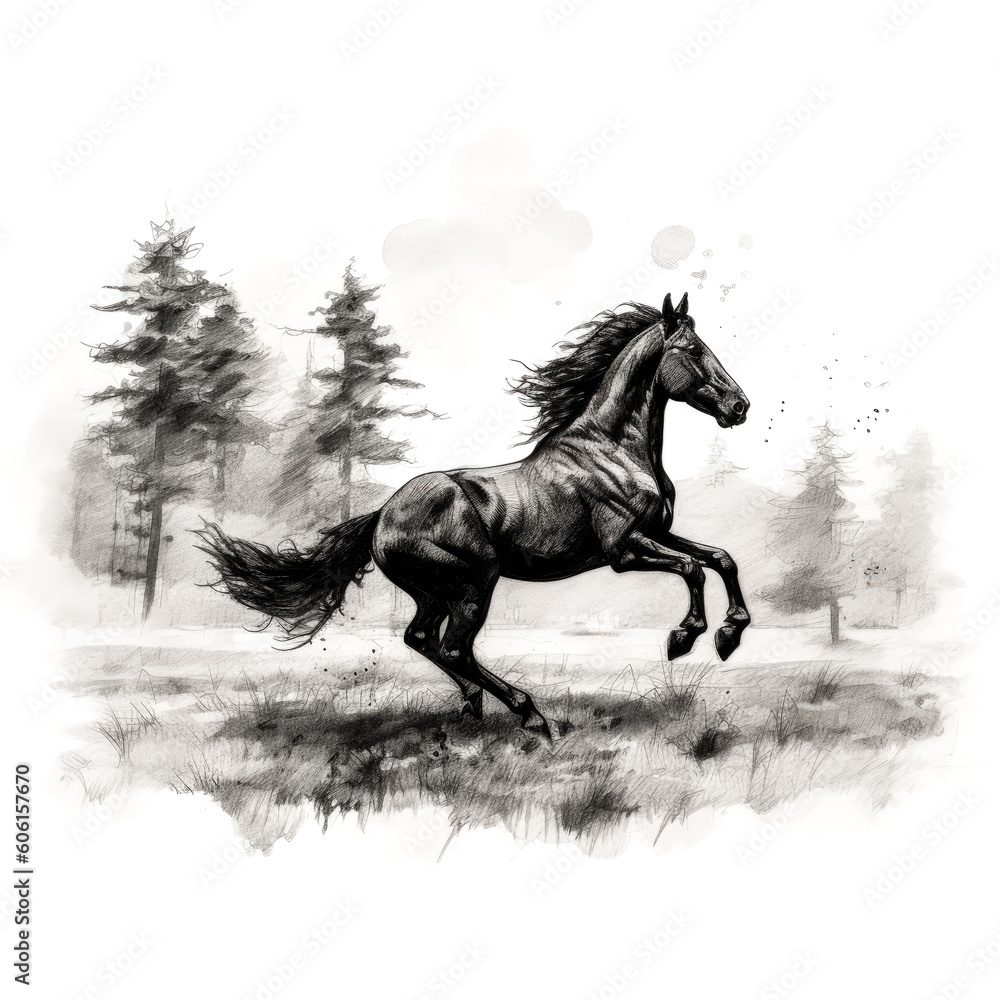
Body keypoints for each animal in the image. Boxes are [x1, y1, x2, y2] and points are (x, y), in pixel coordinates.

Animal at [197, 291, 751, 739]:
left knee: (422, 639)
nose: (740, 406)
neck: (614, 449)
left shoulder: (658, 533)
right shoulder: (622, 549)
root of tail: (381, 516)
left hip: (434, 592)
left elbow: (721, 558)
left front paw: (729, 634)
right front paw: (685, 638)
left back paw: (473, 705)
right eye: (693, 351)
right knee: (453, 648)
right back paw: (529, 715)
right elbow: (693, 568)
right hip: (475, 581)